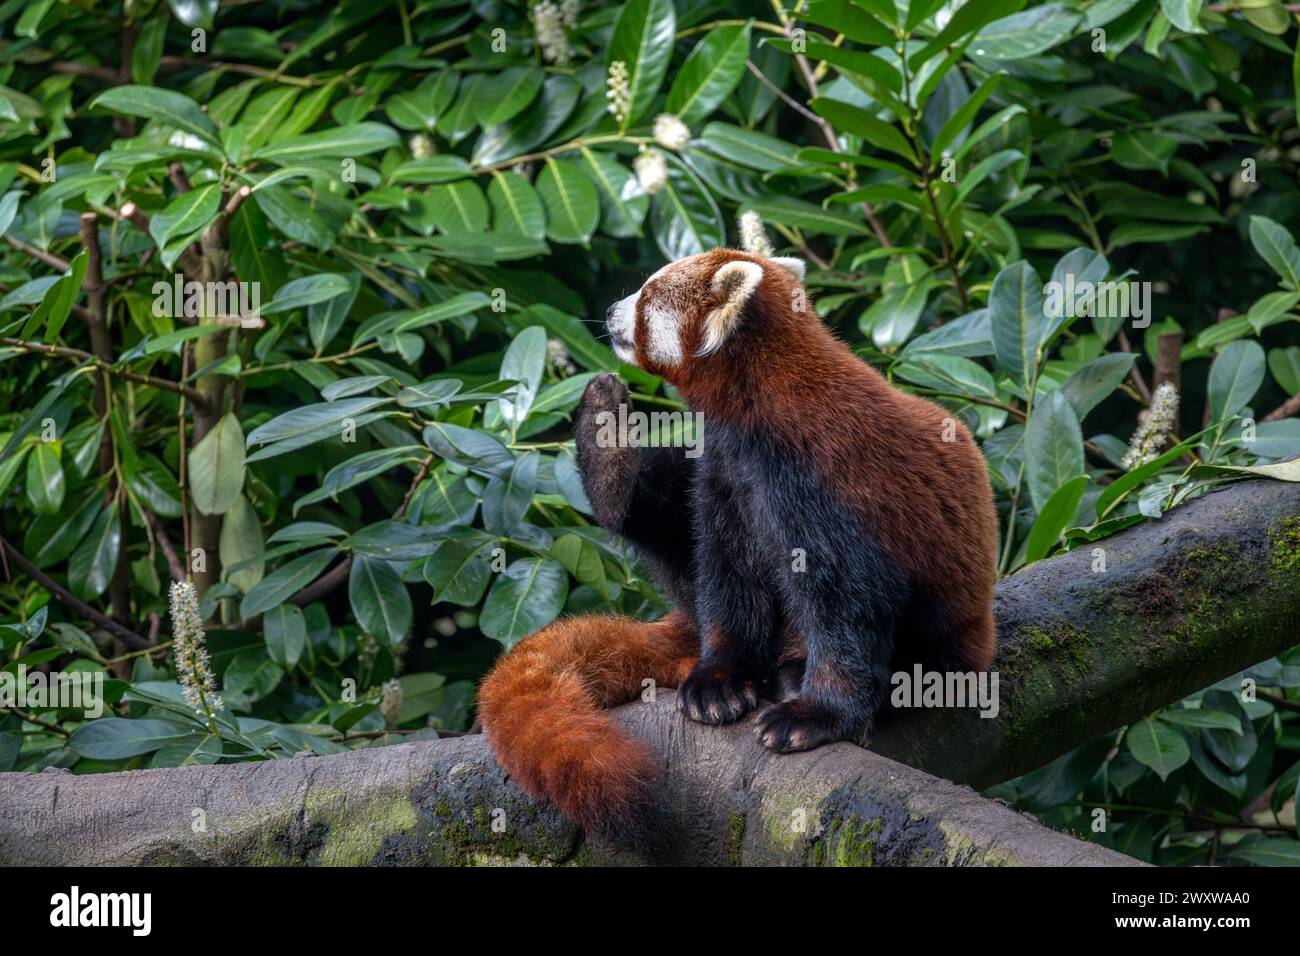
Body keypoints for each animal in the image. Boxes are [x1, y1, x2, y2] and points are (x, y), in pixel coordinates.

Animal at [477, 248, 998, 831]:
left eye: (647, 296)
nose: (611, 310)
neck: (758, 399)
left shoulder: (820, 479)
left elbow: (848, 602)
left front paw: (817, 715)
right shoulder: (724, 470)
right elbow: (728, 574)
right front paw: (721, 681)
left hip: (952, 642)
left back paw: (803, 675)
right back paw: (607, 453)